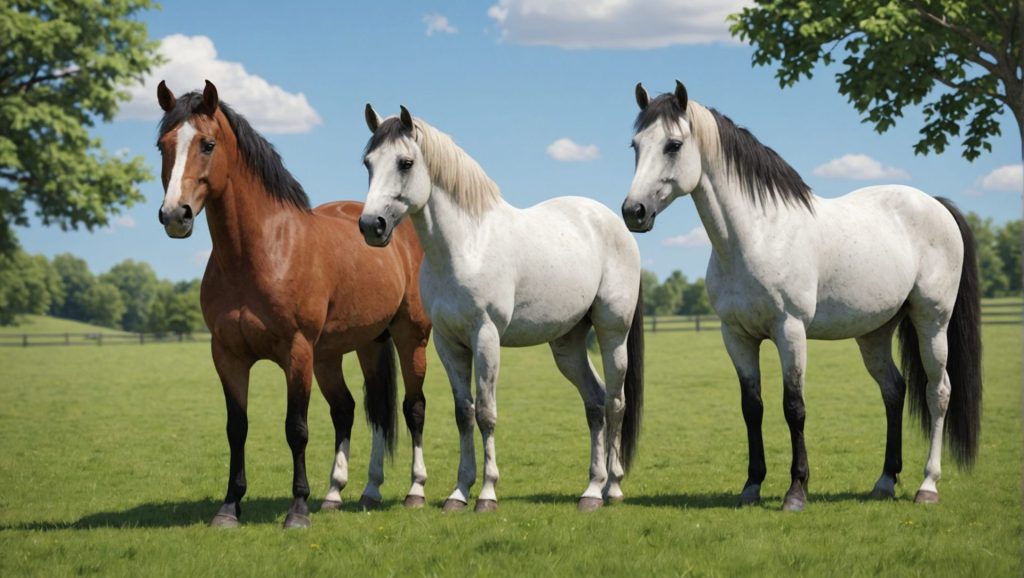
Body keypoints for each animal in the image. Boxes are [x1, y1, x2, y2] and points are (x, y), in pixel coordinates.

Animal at [155, 81, 432, 528]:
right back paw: (351, 493)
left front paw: (298, 510)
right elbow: (237, 427)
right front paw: (229, 508)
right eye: (162, 146)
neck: (259, 252)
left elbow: (296, 428)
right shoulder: (227, 355)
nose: (174, 215)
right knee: (358, 410)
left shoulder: (297, 351)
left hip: (410, 338)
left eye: (208, 144)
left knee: (413, 407)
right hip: (353, 348)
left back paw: (414, 491)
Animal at [357, 104, 645, 512]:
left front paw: (487, 494)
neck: (466, 245)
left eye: (405, 162)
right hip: (568, 345)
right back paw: (592, 487)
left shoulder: (486, 337)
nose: (371, 225)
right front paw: (459, 493)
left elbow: (486, 413)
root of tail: (613, 223)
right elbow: (464, 413)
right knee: (595, 404)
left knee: (616, 402)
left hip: (612, 334)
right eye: (368, 162)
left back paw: (612, 487)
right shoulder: (448, 344)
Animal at [621, 81, 982, 510]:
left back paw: (928, 485)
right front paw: (751, 486)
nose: (633, 212)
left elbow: (793, 407)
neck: (759, 235)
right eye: (635, 145)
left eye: (673, 145)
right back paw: (884, 481)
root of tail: (936, 205)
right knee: (894, 391)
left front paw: (795, 492)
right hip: (874, 332)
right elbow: (752, 407)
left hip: (932, 322)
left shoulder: (790, 331)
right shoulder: (736, 336)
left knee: (938, 392)